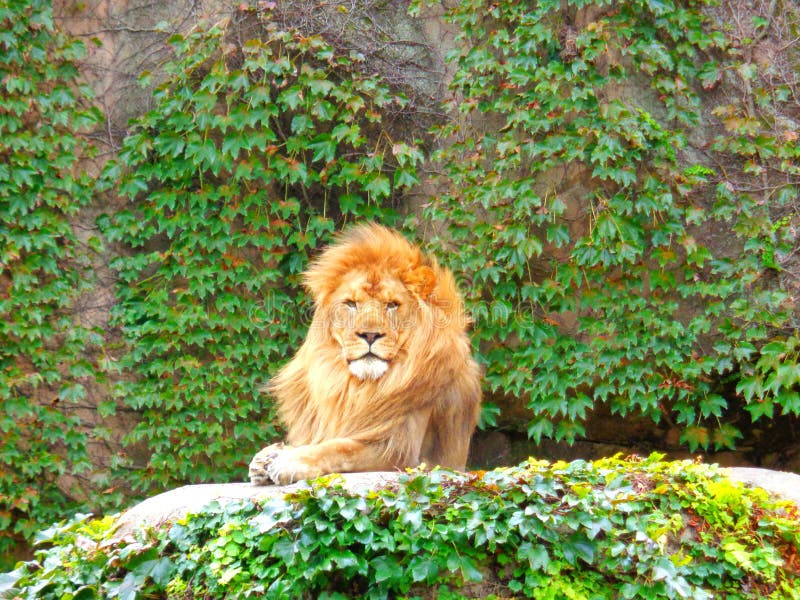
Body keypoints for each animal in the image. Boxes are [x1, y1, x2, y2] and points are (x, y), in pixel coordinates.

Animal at [248, 223, 481, 485]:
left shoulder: (401, 451)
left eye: (392, 304)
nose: (370, 335)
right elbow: (323, 440)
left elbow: (338, 448)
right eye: (351, 303)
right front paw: (268, 456)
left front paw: (289, 461)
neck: (357, 387)